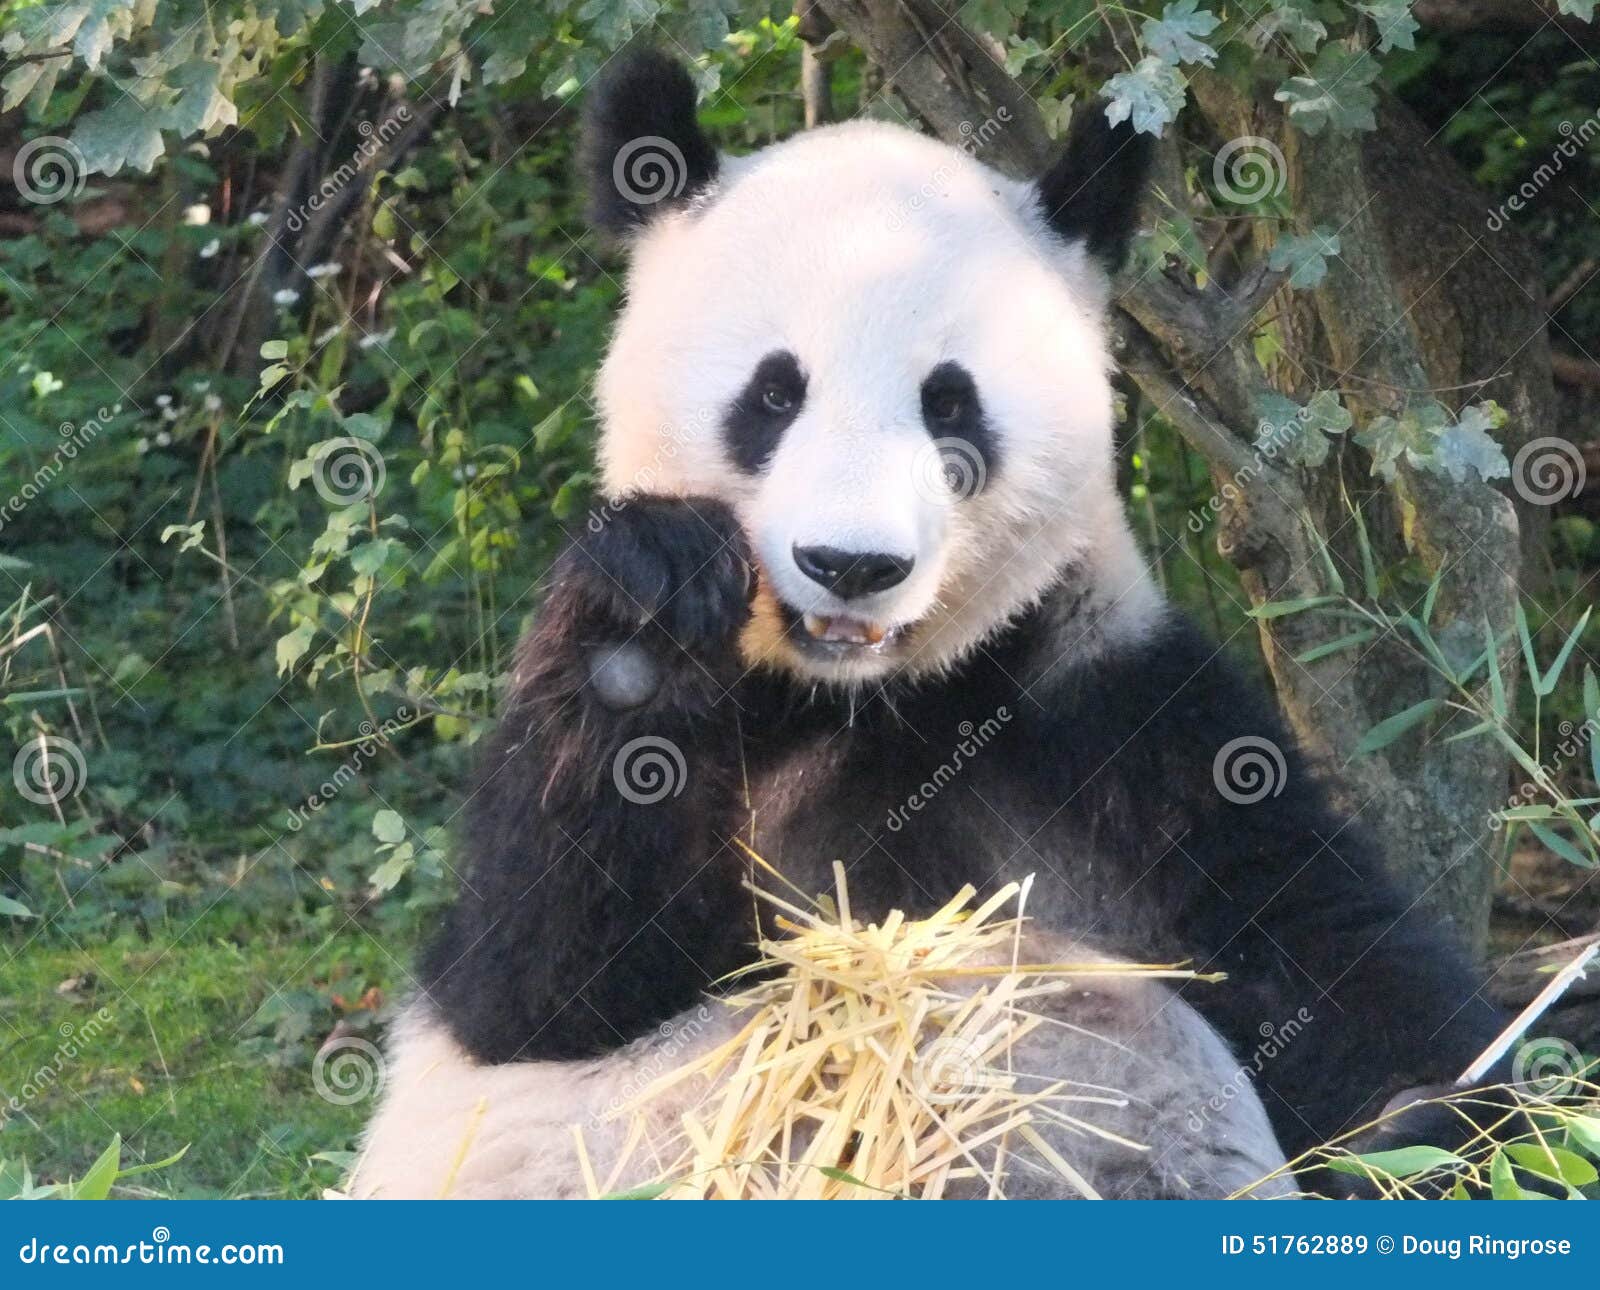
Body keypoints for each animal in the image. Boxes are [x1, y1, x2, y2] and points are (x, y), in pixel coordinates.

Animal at [352, 50, 1507, 1200]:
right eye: (773, 395)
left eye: (950, 404)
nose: (850, 566)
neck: (860, 705)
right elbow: (538, 988)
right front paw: (658, 590)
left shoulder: (1112, 715)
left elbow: (1328, 956)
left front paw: (1450, 1106)